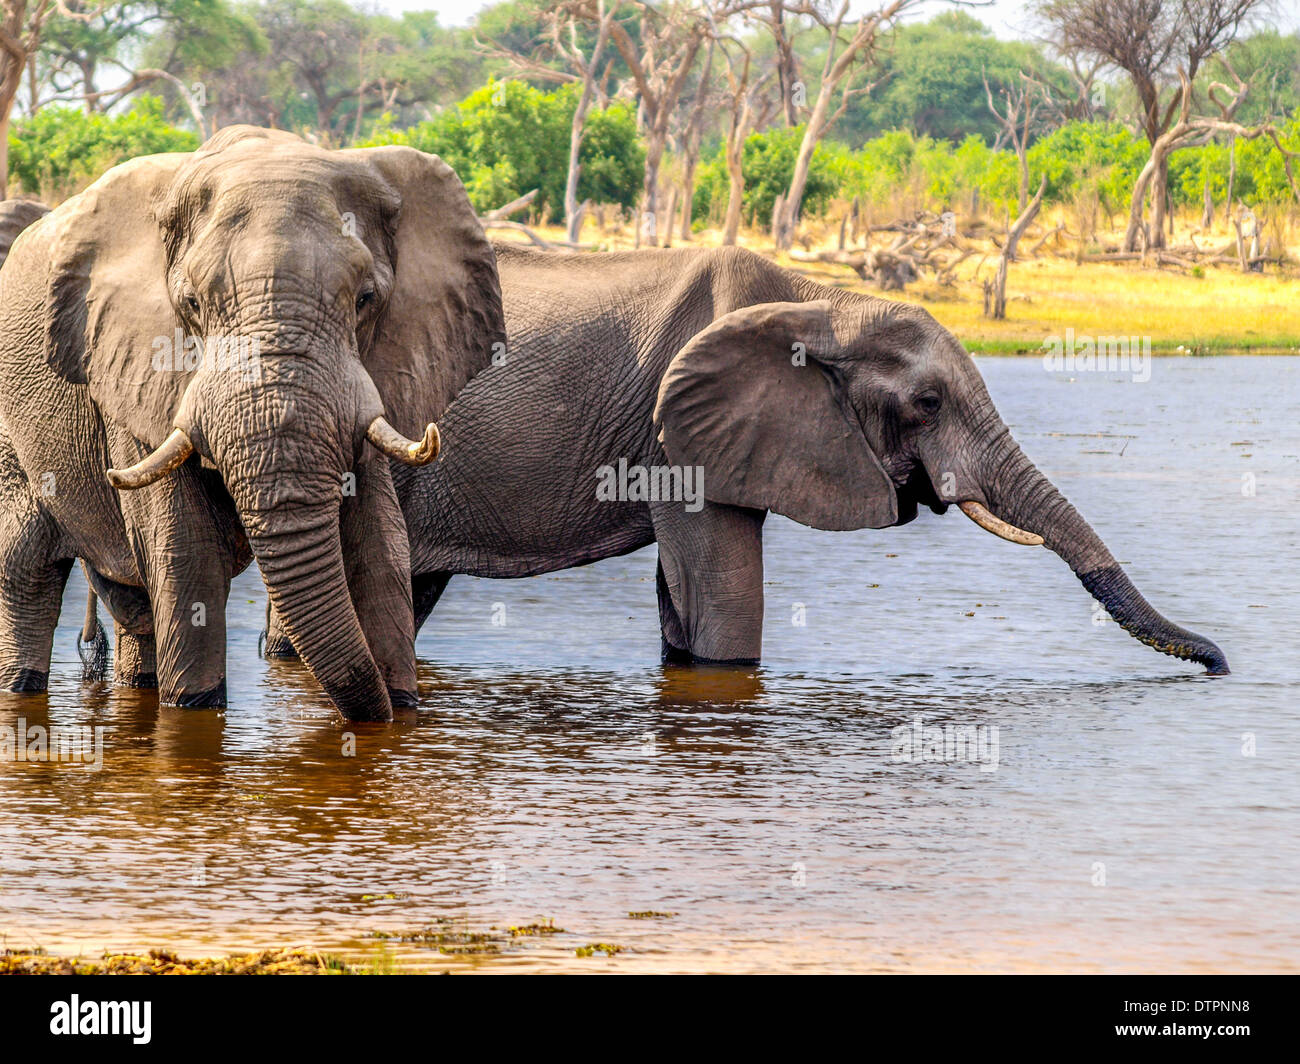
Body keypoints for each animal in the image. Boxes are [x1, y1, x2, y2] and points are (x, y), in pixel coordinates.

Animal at [0, 126, 504, 721]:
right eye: (192, 303)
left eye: (366, 300)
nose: (375, 709)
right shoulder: (131, 375)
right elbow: (185, 551)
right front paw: (192, 707)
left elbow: (380, 543)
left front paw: (398, 710)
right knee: (28, 568)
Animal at [267, 242, 1227, 675]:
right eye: (925, 405)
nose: (1220, 663)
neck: (820, 300)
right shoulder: (677, 433)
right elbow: (723, 597)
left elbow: (686, 599)